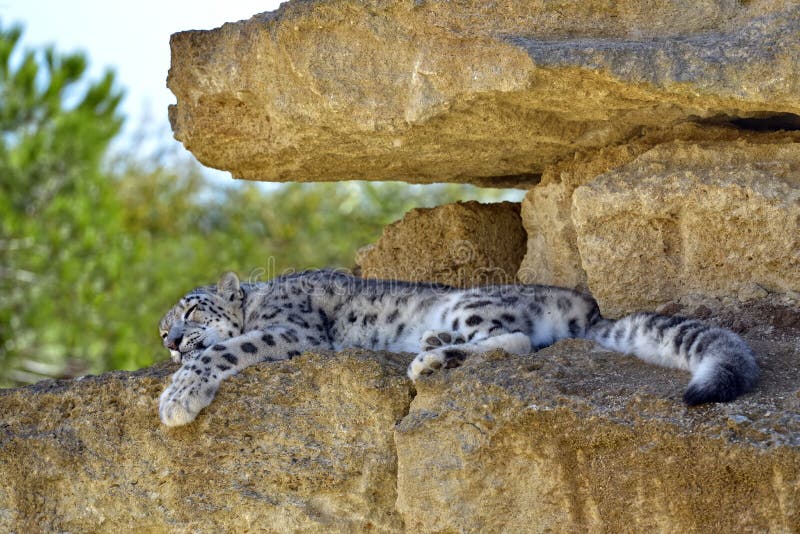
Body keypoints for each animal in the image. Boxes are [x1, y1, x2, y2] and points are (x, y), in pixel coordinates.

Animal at [157, 270, 759, 427]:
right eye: (161, 334)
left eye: (190, 311)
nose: (171, 344)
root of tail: (586, 307)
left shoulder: (293, 330)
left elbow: (227, 349)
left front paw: (176, 399)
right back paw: (435, 347)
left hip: (471, 304)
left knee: (514, 338)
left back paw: (428, 358)